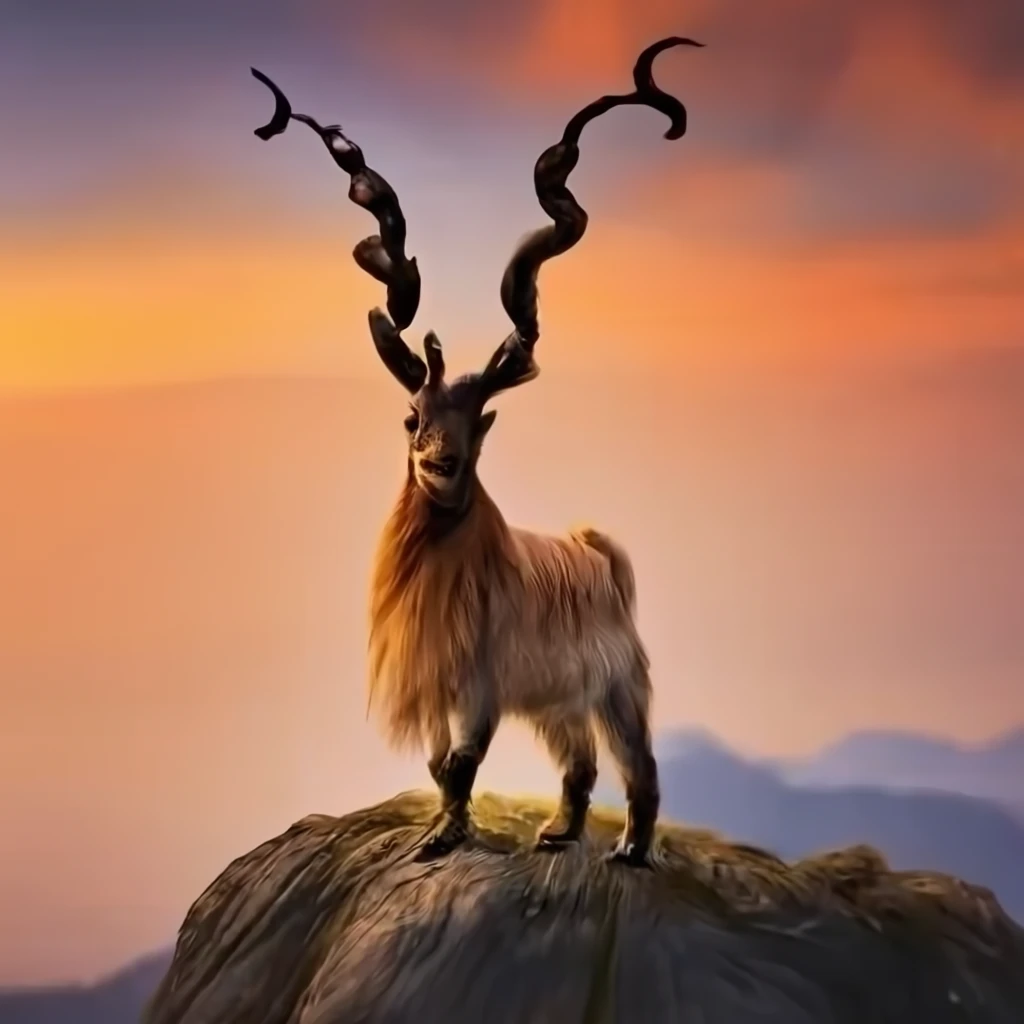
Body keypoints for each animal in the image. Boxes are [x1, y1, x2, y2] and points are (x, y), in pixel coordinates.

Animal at [252, 37, 701, 866]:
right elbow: (439, 762)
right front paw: (443, 831)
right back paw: (558, 834)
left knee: (637, 759)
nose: (440, 465)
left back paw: (630, 848)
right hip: (559, 700)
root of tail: (599, 554)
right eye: (411, 417)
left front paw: (443, 838)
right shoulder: (436, 685)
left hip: (618, 687)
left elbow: (464, 759)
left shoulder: (481, 684)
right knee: (579, 761)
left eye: (481, 417)